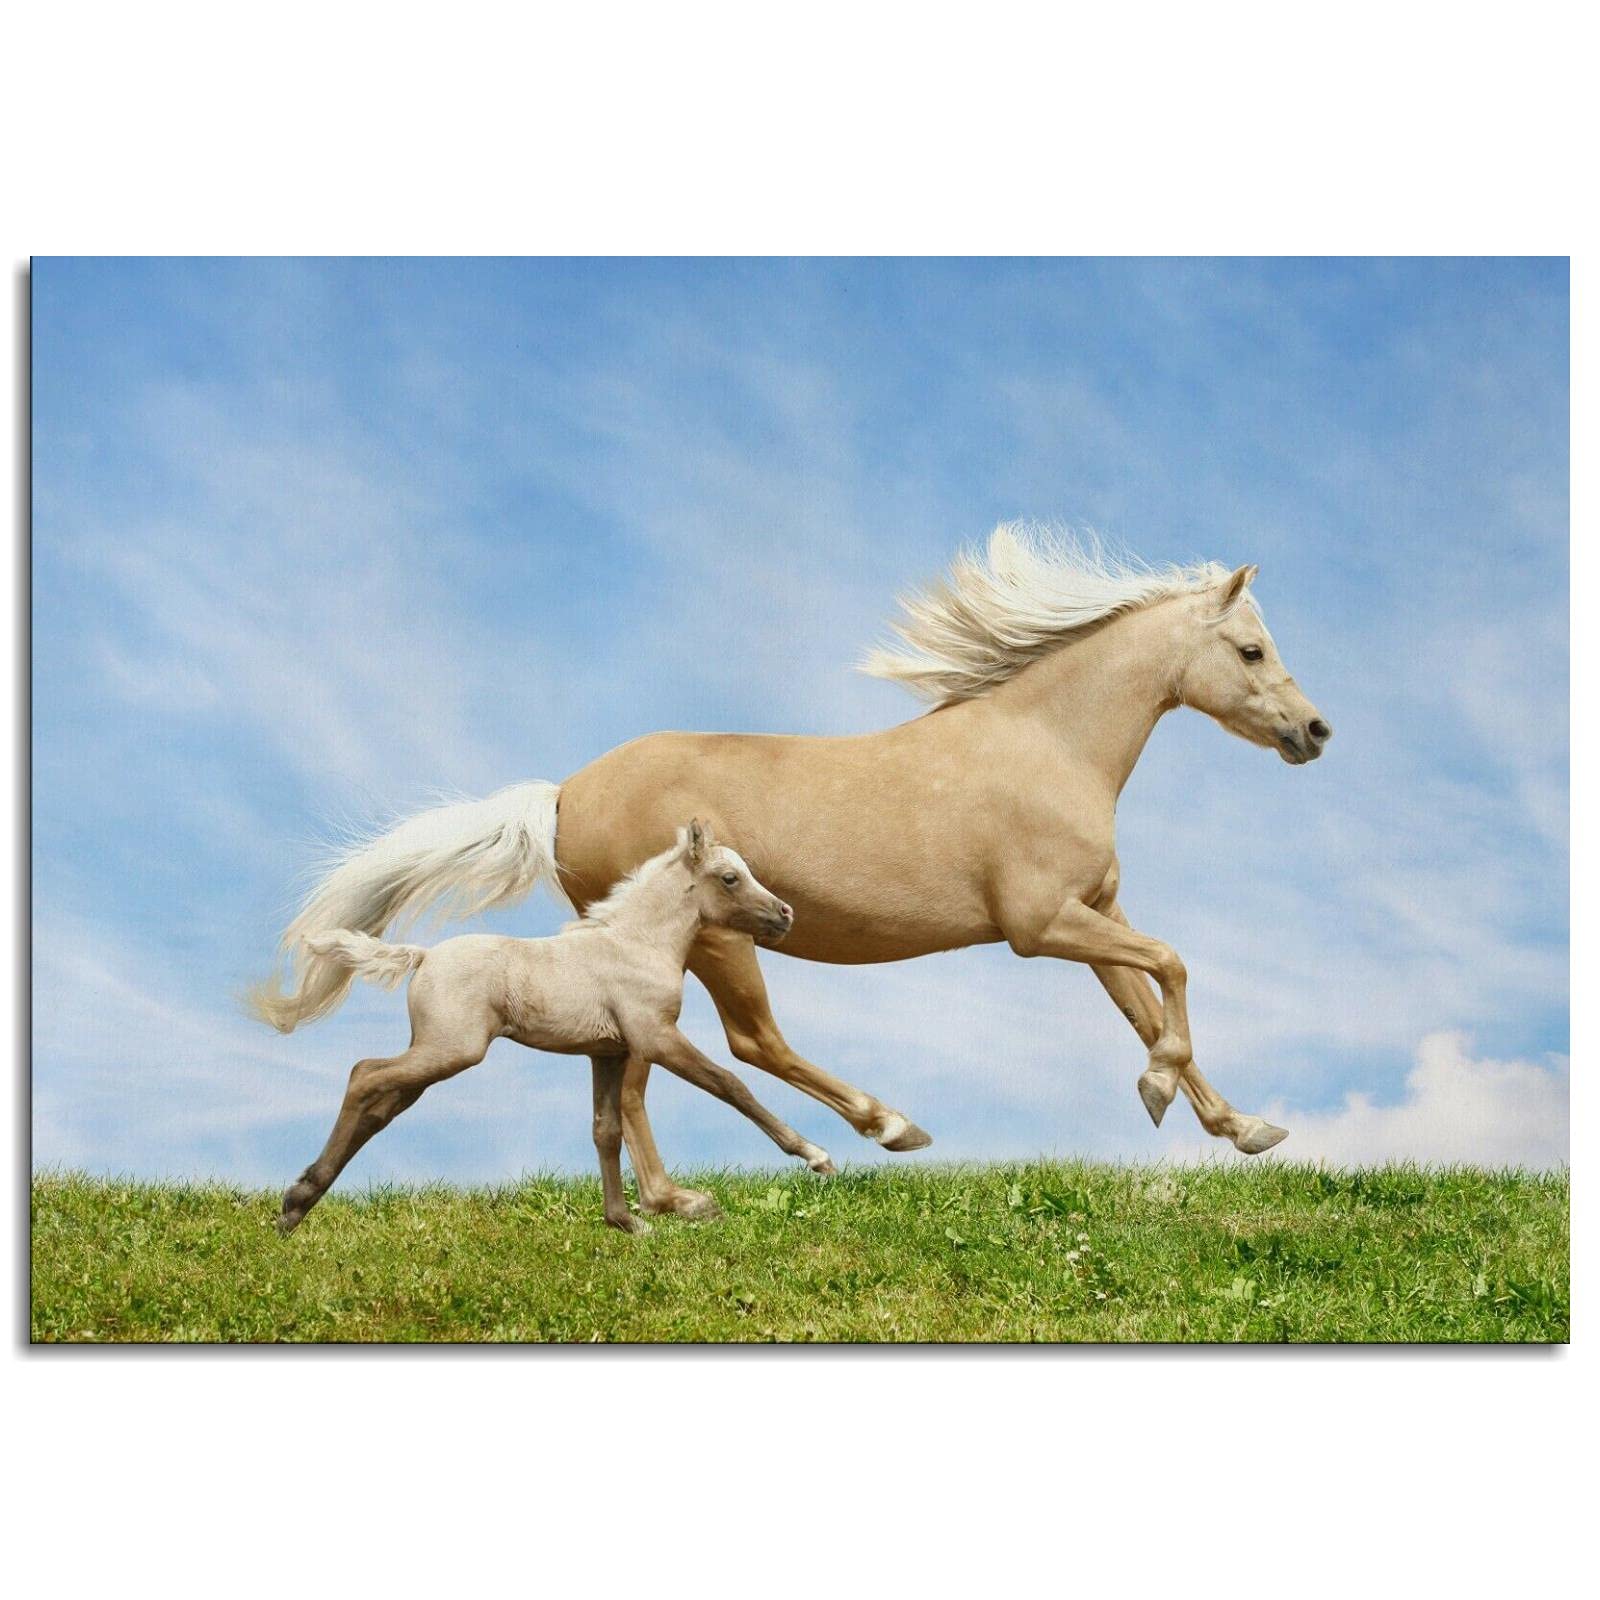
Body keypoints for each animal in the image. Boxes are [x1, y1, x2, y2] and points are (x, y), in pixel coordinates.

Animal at [276, 821, 832, 1234]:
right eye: (730, 877)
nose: (785, 914)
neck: (637, 943)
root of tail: (424, 956)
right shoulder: (655, 1038)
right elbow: (730, 1085)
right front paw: (814, 1156)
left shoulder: (608, 1052)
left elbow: (605, 1130)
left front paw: (625, 1222)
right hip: (452, 1050)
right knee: (364, 1074)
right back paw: (295, 1202)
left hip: (433, 1056)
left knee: (379, 1104)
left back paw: (298, 1205)